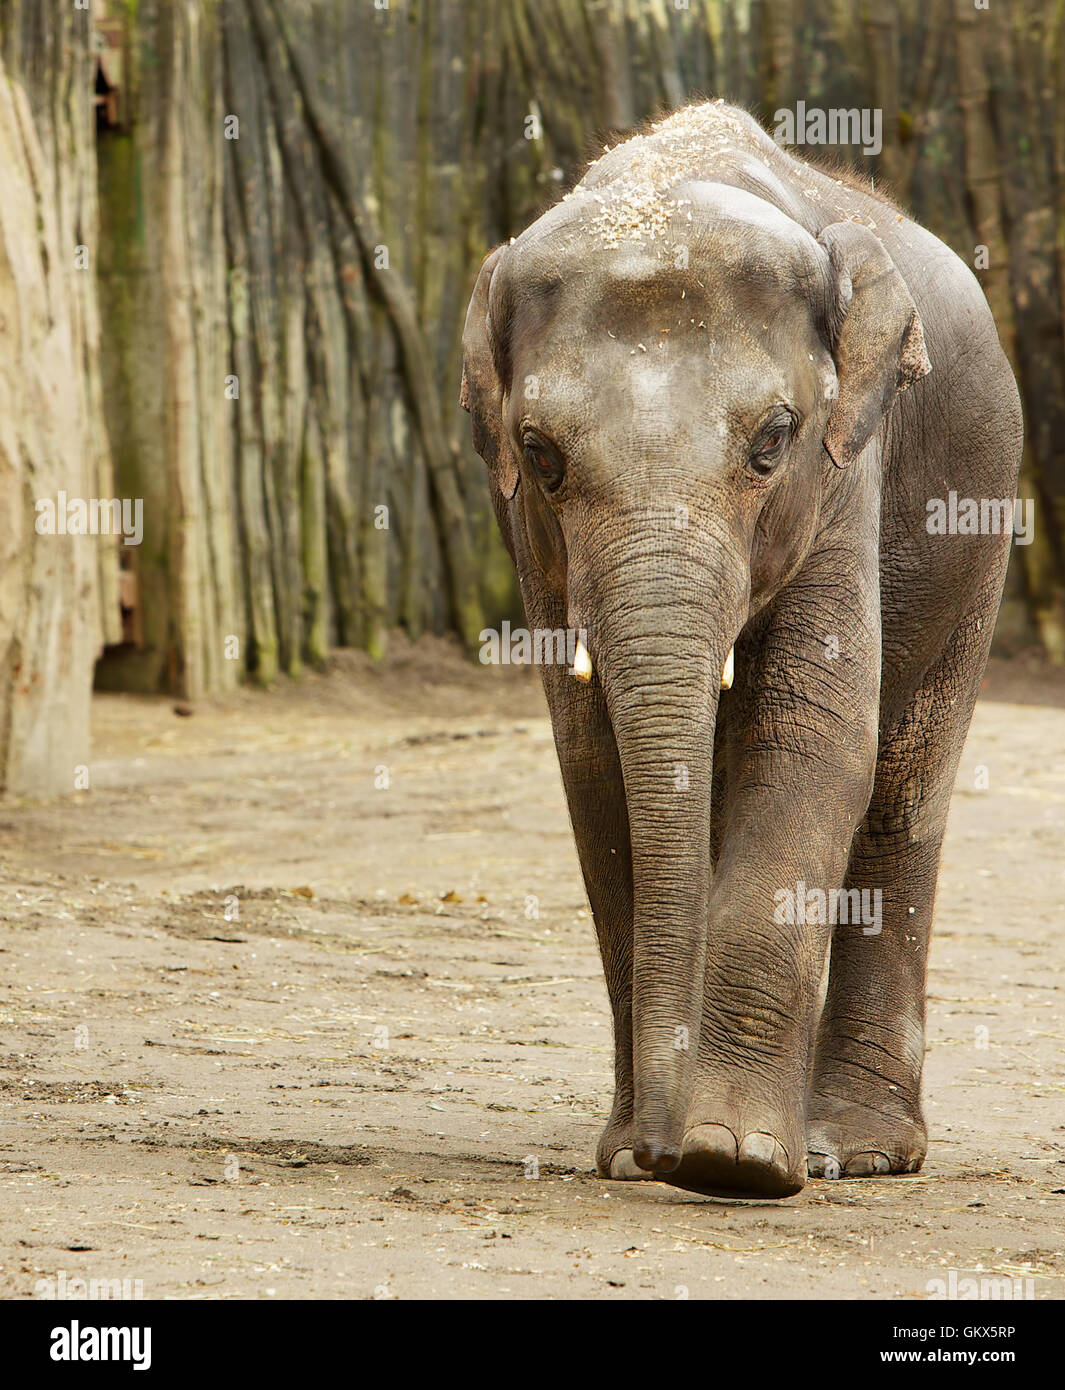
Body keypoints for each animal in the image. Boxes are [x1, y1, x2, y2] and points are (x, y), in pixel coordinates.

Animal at [460, 100, 1022, 1198]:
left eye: (772, 441)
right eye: (540, 455)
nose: (657, 1145)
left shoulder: (849, 466)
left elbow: (813, 742)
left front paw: (732, 1161)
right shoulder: (530, 541)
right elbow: (594, 767)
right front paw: (642, 1153)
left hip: (981, 534)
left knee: (904, 793)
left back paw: (853, 1149)